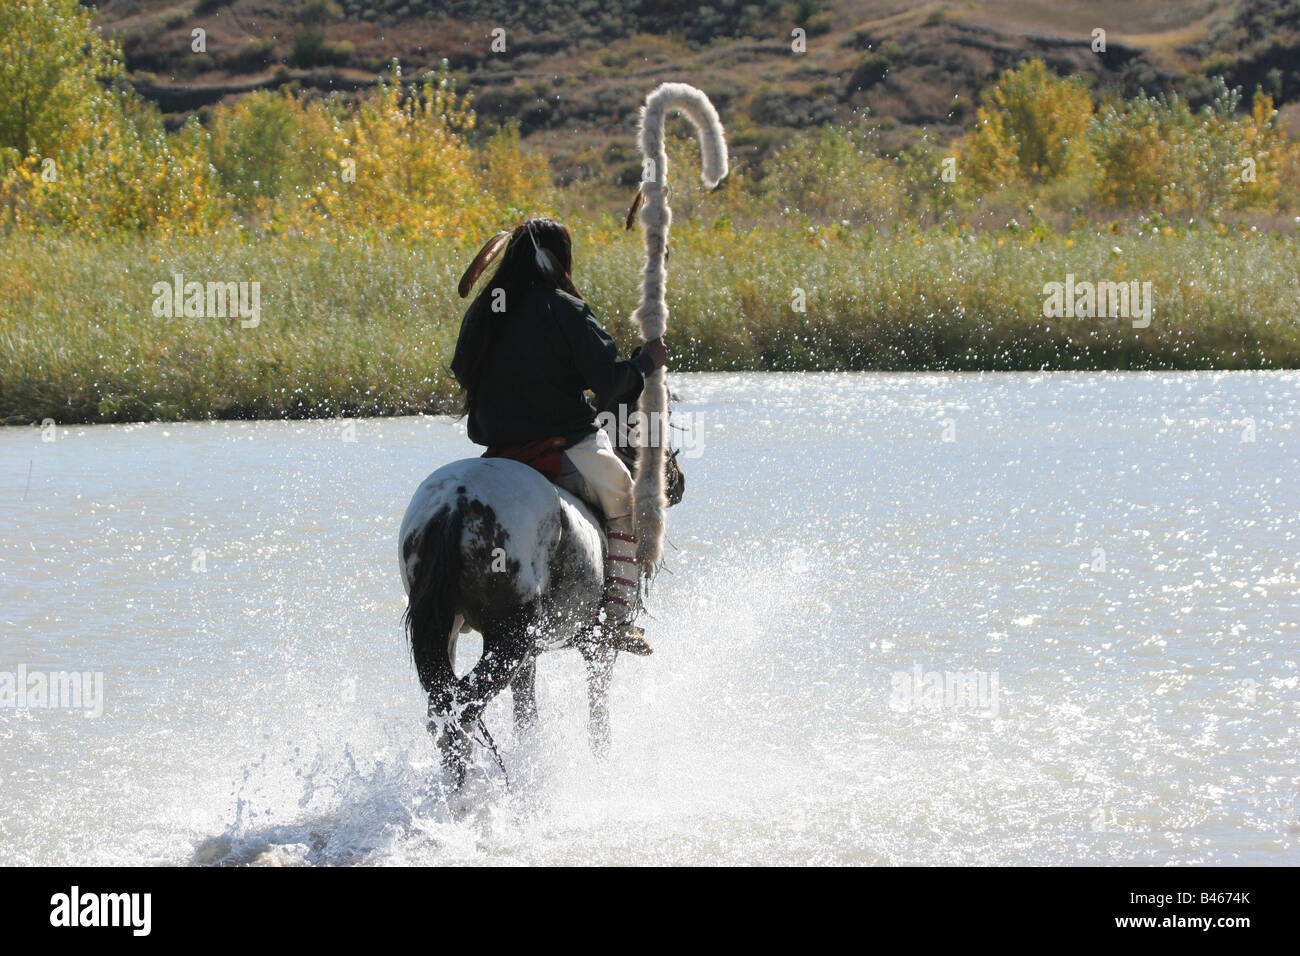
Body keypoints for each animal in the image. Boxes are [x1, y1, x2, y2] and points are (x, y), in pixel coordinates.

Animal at [398, 416, 683, 788]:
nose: (676, 482)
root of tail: (455, 505)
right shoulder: (598, 649)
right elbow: (598, 718)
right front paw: (602, 770)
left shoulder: (529, 654)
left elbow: (527, 717)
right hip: (508, 641)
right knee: (463, 709)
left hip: (450, 633)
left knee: (443, 713)